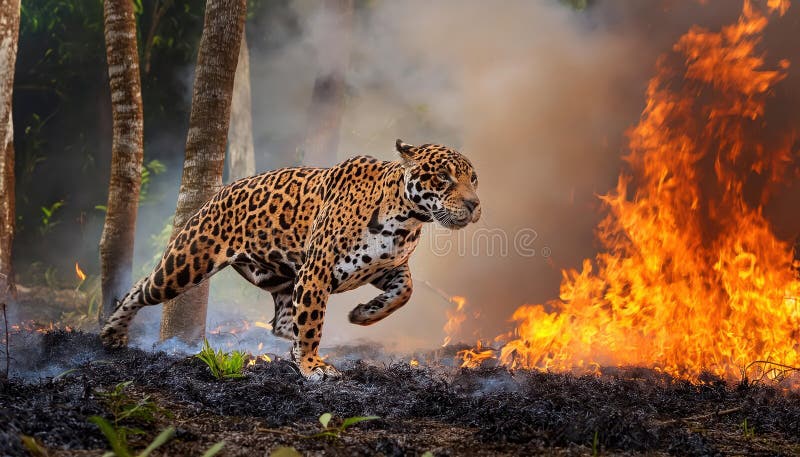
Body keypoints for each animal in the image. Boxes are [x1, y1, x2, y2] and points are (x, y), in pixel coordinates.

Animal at [100, 139, 481, 381]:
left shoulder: (385, 267)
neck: (407, 218)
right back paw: (111, 332)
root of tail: (221, 192)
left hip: (279, 275)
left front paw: (363, 314)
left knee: (282, 322)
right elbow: (313, 322)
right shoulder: (318, 270)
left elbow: (406, 291)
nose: (475, 204)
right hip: (187, 262)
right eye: (443, 177)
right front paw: (314, 367)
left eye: (473, 179)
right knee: (141, 288)